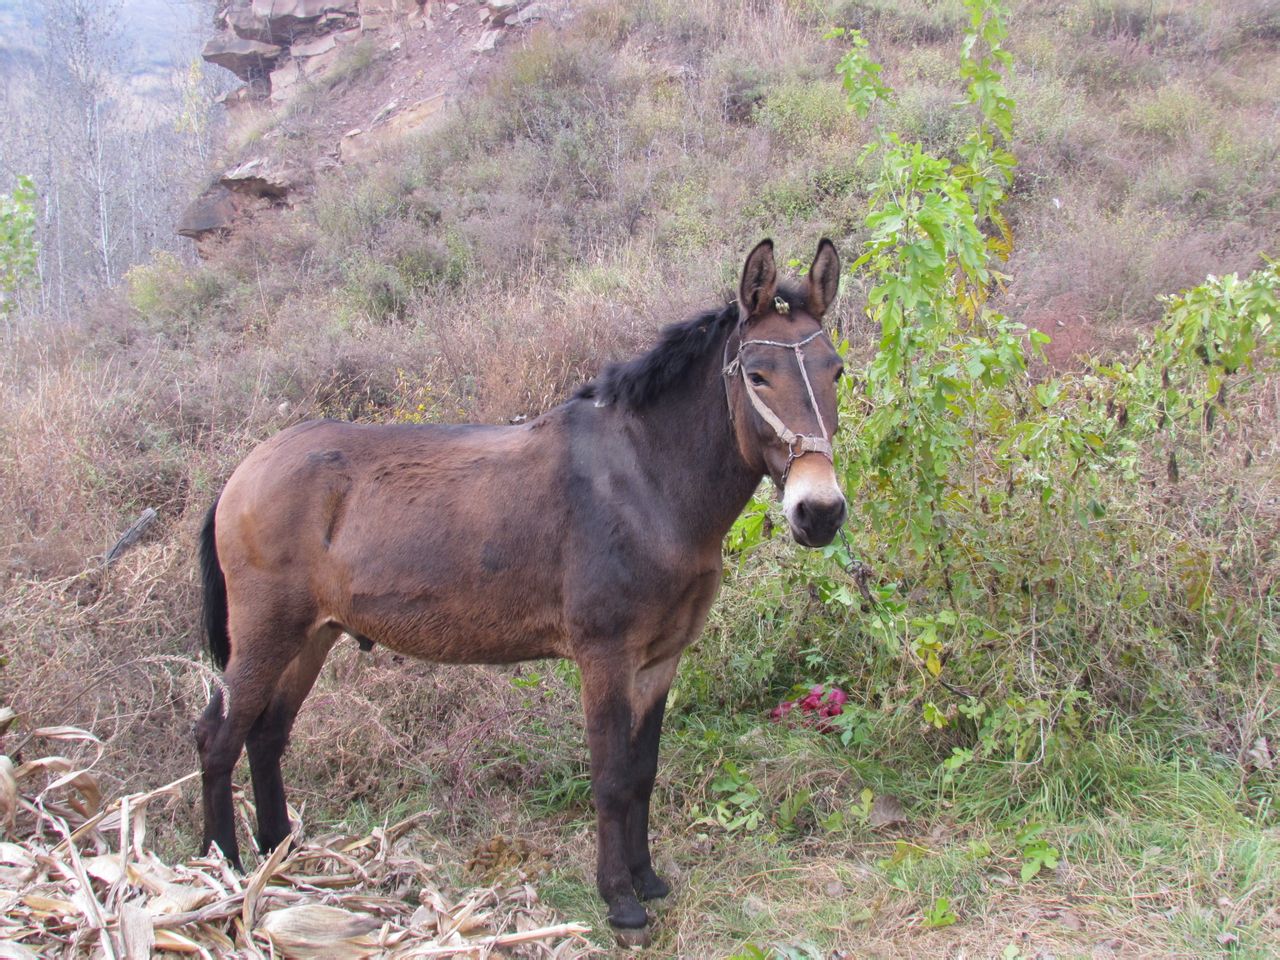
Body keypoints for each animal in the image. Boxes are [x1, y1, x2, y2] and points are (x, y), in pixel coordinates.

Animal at [194, 238, 848, 932]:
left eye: (835, 371)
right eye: (756, 375)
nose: (820, 511)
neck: (644, 480)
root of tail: (245, 470)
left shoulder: (659, 661)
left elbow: (642, 772)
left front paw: (646, 880)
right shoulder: (605, 658)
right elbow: (611, 776)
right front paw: (619, 899)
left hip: (311, 637)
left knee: (266, 736)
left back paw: (279, 854)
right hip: (266, 635)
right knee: (218, 738)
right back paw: (224, 870)